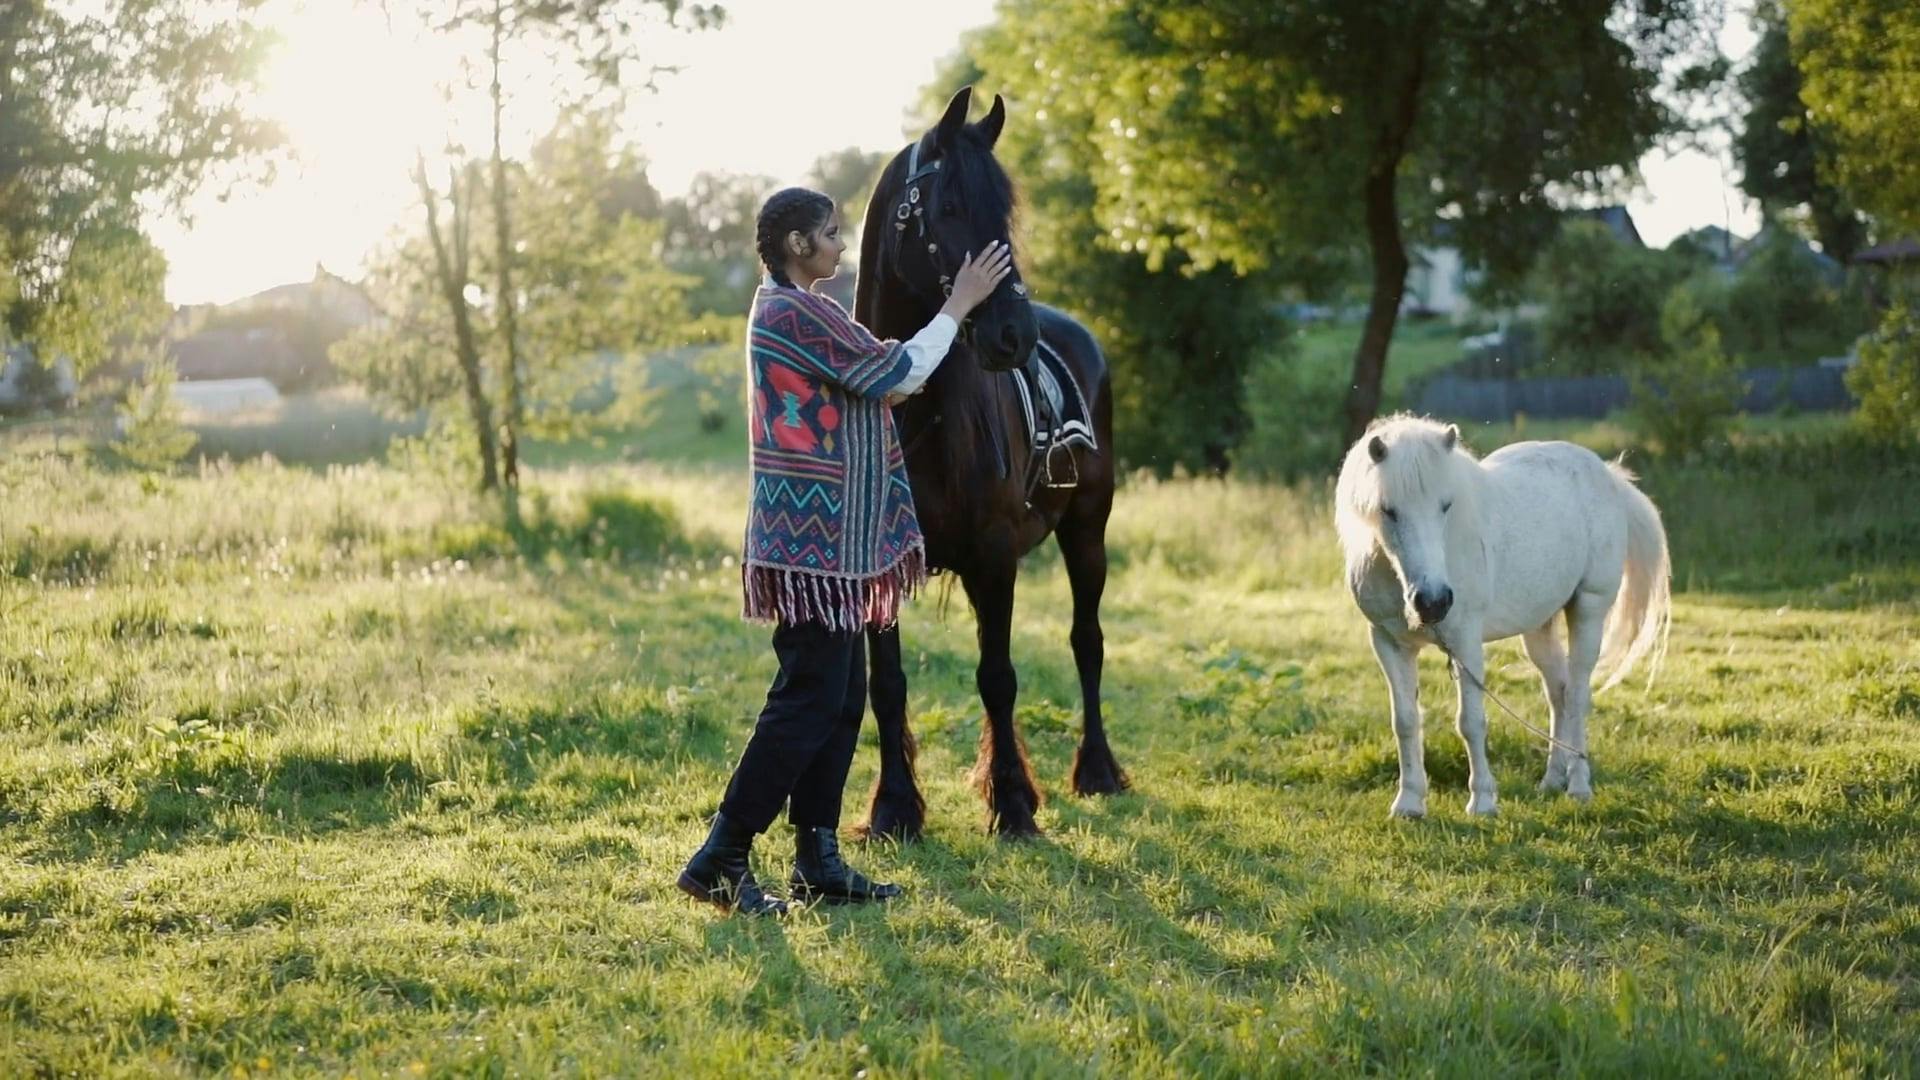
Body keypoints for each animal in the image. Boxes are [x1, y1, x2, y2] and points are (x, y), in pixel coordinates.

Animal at [850, 85, 1126, 839]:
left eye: (1004, 211)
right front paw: (894, 807)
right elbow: (887, 685)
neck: (915, 406)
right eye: (946, 206)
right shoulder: (880, 566)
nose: (1013, 334)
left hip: (1087, 531)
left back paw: (1098, 770)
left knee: (1087, 641)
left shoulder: (996, 555)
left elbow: (997, 677)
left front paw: (1012, 802)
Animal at [1333, 415, 1671, 818]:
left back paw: (1578, 787)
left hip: (1589, 611)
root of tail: (1609, 475)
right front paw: (1409, 803)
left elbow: (1471, 722)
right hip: (1539, 626)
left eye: (1446, 505)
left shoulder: (1465, 641)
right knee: (1558, 693)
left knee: (1577, 696)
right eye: (1388, 510)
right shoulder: (1388, 642)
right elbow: (1405, 721)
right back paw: (1551, 781)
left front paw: (1482, 802)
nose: (1433, 602)